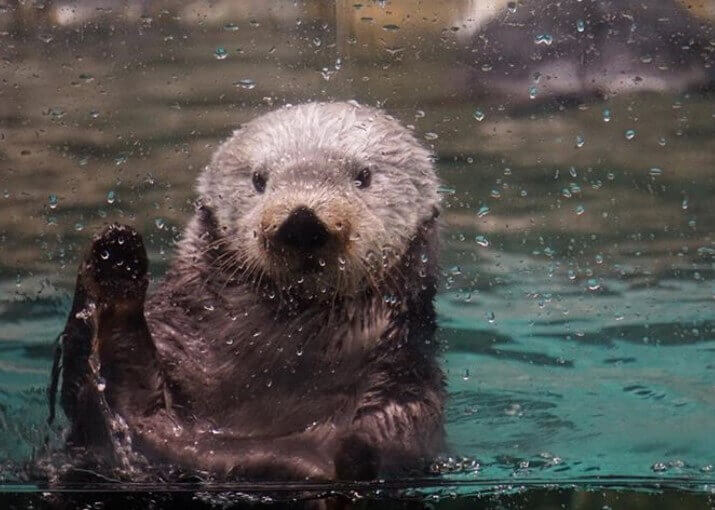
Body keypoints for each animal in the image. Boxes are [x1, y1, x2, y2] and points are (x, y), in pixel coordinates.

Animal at [50, 101, 444, 481]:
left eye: (363, 177)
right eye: (259, 179)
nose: (302, 222)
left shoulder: (403, 383)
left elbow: (393, 435)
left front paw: (352, 451)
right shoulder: (175, 333)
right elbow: (93, 401)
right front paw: (114, 252)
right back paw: (117, 261)